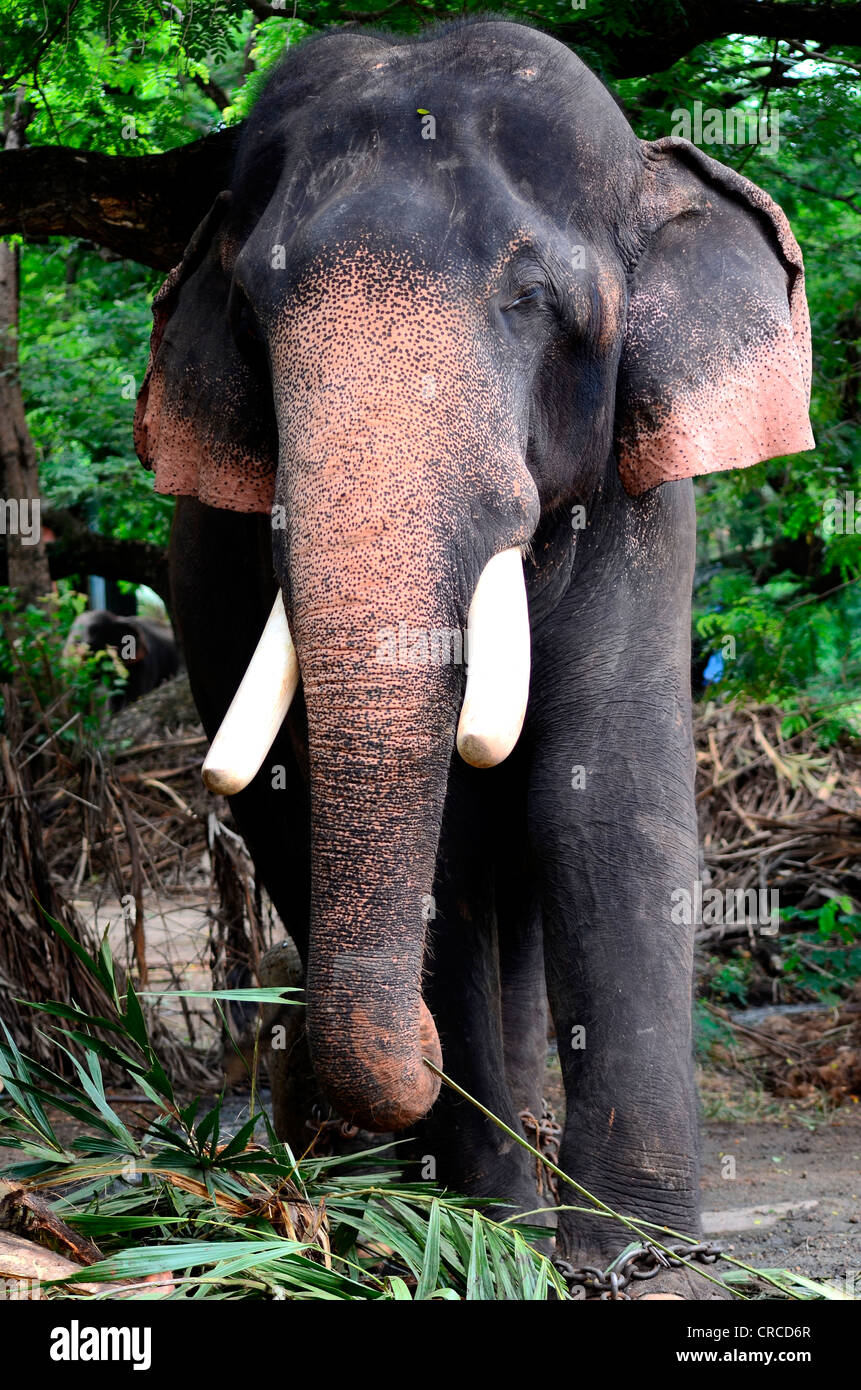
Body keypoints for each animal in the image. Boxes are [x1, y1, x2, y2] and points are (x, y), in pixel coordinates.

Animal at [134, 18, 813, 1298]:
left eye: (530, 296)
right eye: (254, 313)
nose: (415, 1041)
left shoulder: (643, 500)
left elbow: (604, 804)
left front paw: (635, 1252)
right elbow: (435, 852)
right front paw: (486, 1225)